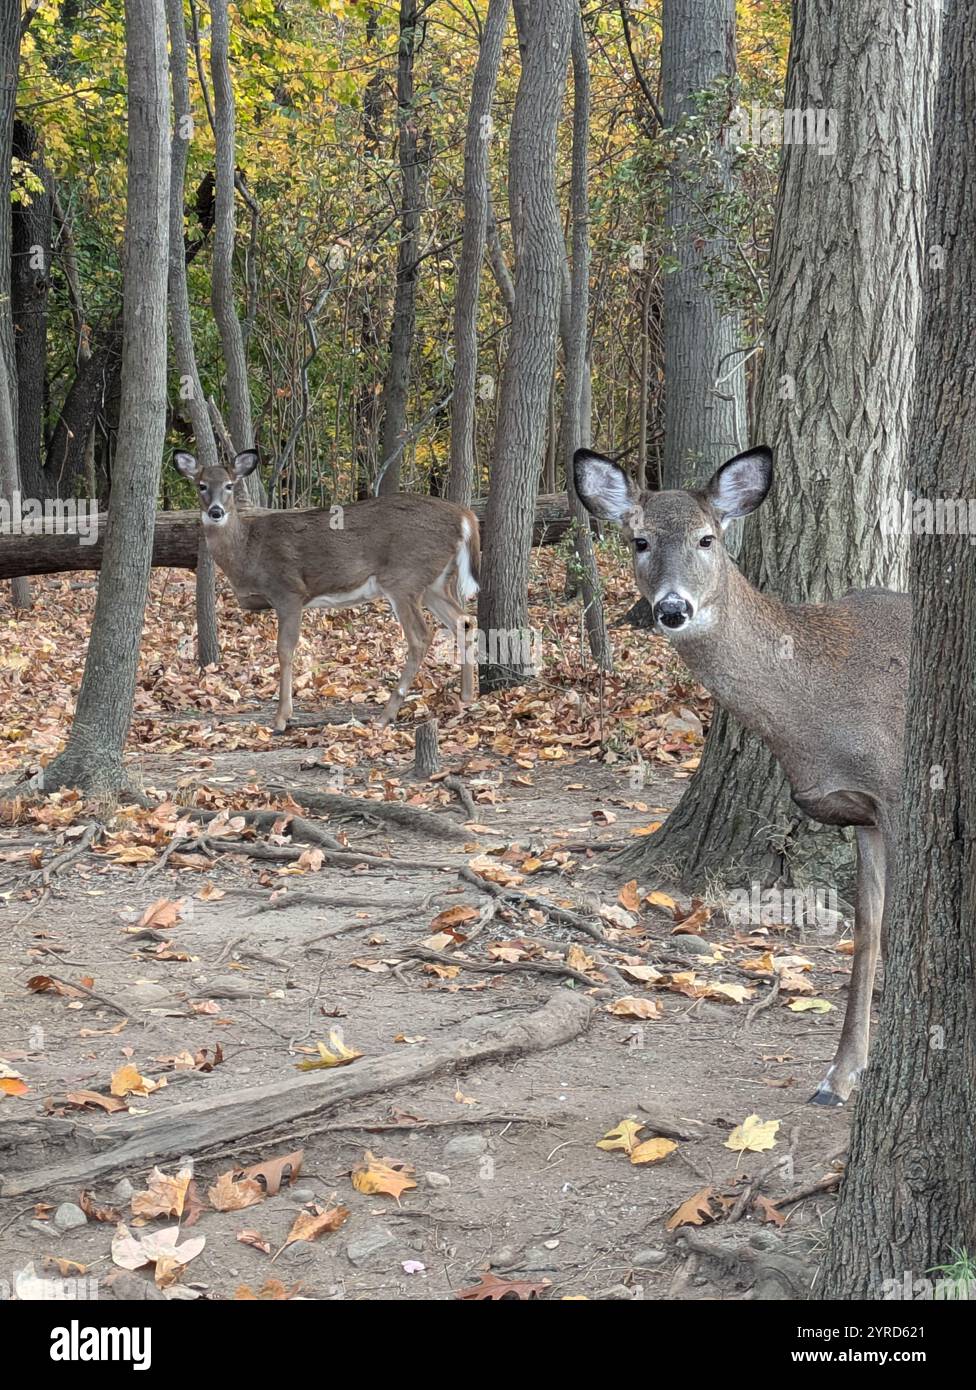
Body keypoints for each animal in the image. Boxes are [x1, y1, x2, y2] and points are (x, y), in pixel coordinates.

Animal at [175, 449, 480, 731]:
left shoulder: (289, 591)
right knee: (464, 620)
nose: (216, 511)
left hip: (404, 577)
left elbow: (285, 649)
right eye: (201, 485)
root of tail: (465, 516)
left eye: (229, 485)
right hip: (434, 583)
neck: (248, 552)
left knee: (420, 636)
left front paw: (282, 718)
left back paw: (386, 715)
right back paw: (467, 697)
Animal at [573, 444, 908, 1107]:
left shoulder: (904, 792)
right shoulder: (863, 813)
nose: (672, 608)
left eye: (707, 538)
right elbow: (868, 932)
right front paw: (839, 1075)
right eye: (639, 540)